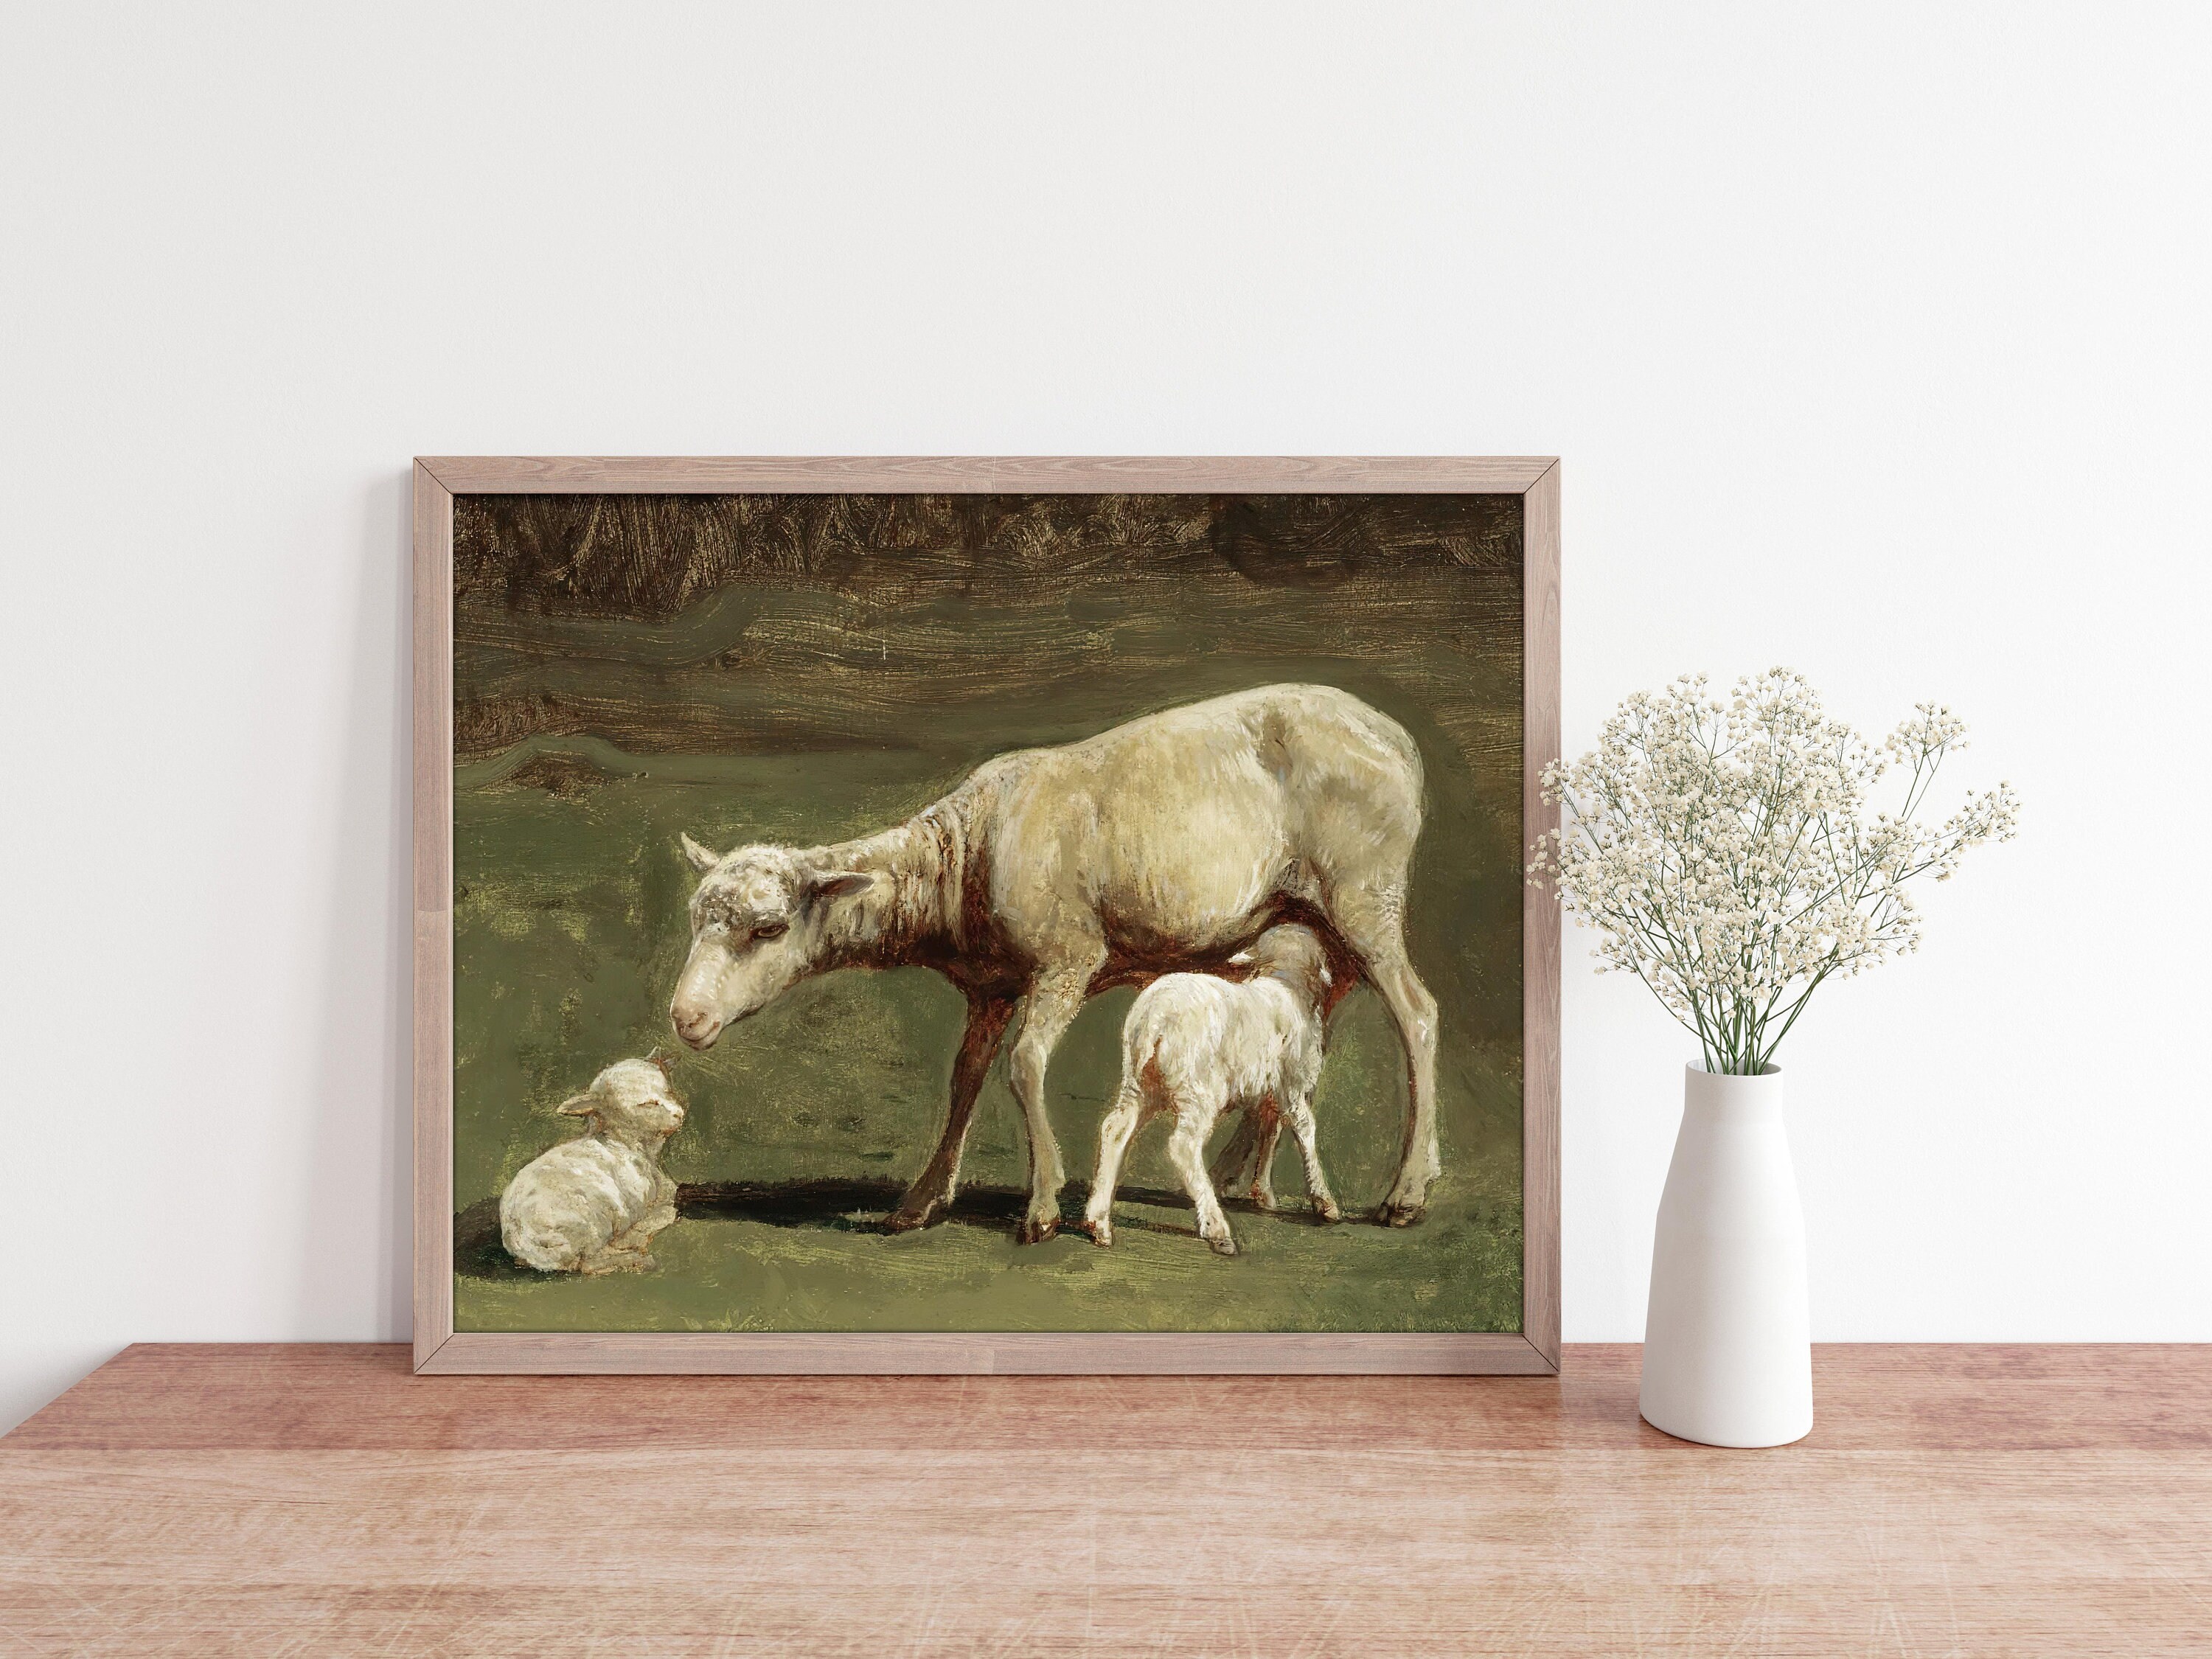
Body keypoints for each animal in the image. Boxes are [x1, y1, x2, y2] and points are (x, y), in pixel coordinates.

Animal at [500, 1055, 687, 1275]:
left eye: (668, 1091)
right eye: (647, 1104)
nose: (679, 1114)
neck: (622, 1143)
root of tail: (525, 1243)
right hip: (595, 1224)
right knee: (588, 1264)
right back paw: (637, 1258)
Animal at [1081, 924, 1340, 1255]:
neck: (1283, 983)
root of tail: (1155, 1016)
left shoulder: (1270, 1092)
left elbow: (1270, 1132)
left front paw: (1264, 1192)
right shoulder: (1292, 1085)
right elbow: (1305, 1131)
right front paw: (1324, 1202)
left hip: (1140, 1083)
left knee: (1114, 1130)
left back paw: (1097, 1223)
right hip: (1197, 1089)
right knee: (1183, 1145)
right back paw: (1217, 1229)